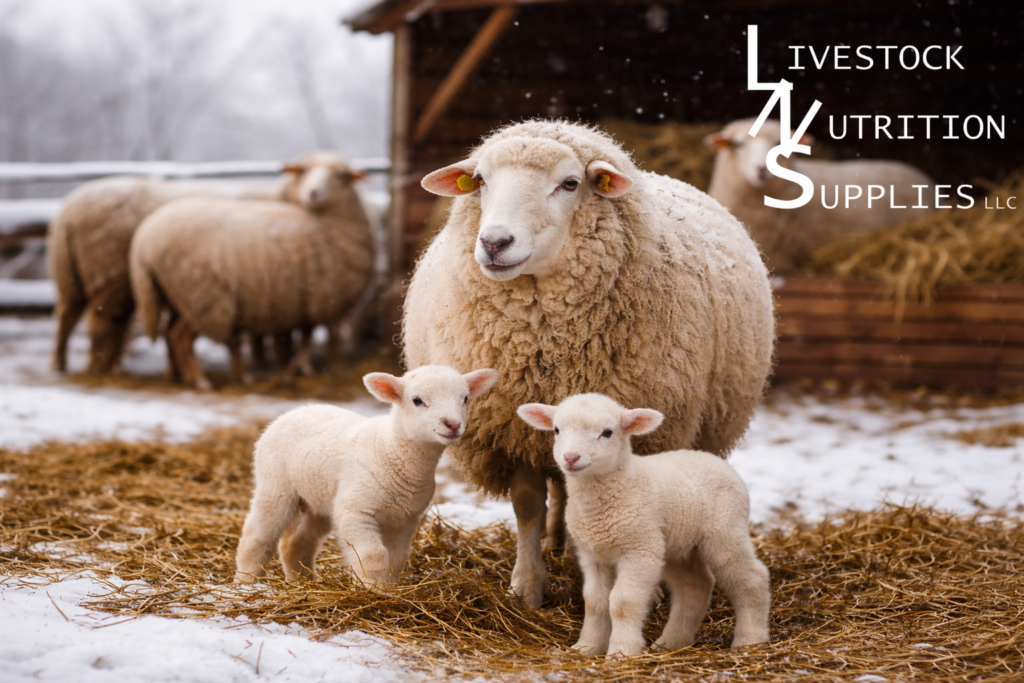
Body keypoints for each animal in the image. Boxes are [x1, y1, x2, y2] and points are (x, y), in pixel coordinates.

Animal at [48, 176, 280, 374]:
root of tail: (68, 216)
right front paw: (262, 361)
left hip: (70, 274)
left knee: (70, 315)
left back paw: (64, 363)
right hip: (112, 276)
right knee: (102, 320)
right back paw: (98, 366)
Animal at [129, 152, 375, 390]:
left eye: (341, 175)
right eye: (303, 171)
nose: (313, 193)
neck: (328, 222)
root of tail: (144, 243)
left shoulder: (306, 300)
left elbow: (305, 334)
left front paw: (299, 368)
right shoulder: (324, 297)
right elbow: (317, 334)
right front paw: (314, 367)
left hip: (176, 296)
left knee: (167, 332)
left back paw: (178, 377)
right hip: (202, 297)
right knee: (179, 337)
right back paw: (200, 381)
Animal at [234, 365, 498, 585]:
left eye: (465, 399)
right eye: (417, 400)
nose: (453, 424)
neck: (391, 450)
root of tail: (296, 410)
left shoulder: (406, 518)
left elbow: (396, 557)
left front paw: (390, 590)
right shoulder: (355, 512)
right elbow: (373, 555)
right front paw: (373, 590)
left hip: (319, 499)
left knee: (297, 542)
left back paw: (302, 581)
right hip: (275, 486)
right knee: (257, 535)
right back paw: (246, 581)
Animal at [404, 120, 775, 608]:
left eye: (570, 183)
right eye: (480, 180)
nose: (494, 243)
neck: (548, 350)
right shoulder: (512, 430)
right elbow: (527, 504)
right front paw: (527, 585)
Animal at [517, 393, 770, 656]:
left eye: (607, 432)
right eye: (557, 430)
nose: (570, 457)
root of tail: (712, 459)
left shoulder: (639, 551)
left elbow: (622, 602)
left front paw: (622, 652)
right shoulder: (592, 555)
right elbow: (595, 601)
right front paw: (587, 647)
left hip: (725, 531)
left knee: (753, 580)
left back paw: (750, 641)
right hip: (677, 546)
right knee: (695, 586)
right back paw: (671, 642)